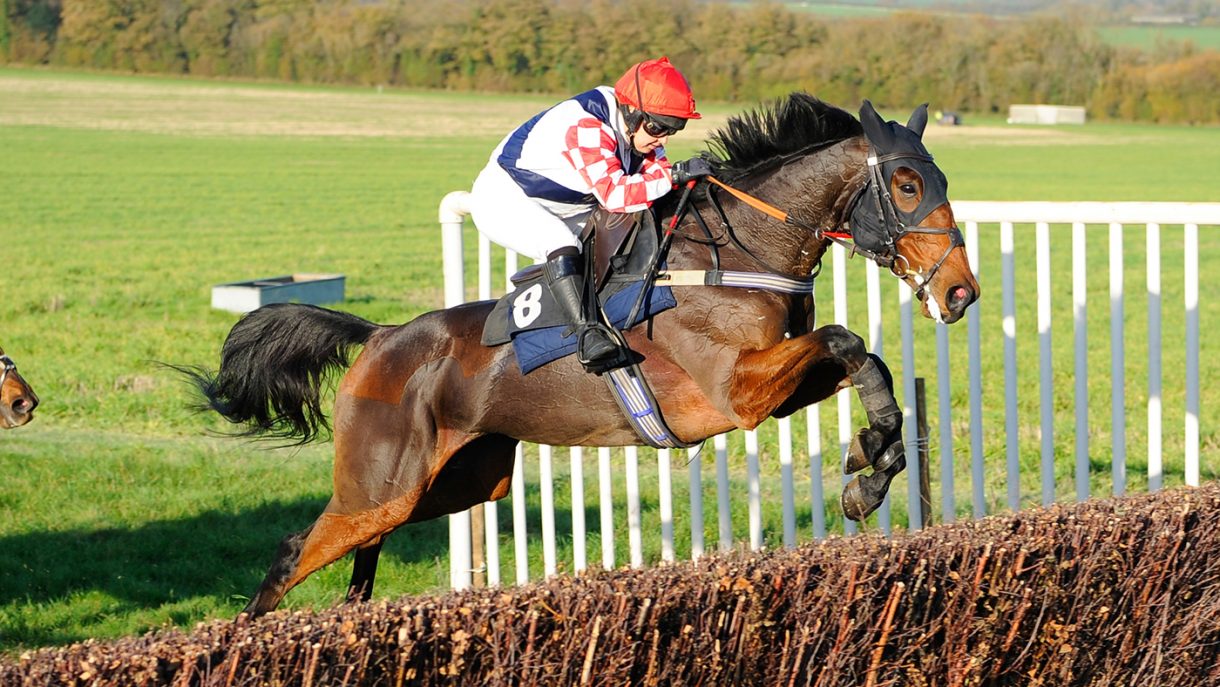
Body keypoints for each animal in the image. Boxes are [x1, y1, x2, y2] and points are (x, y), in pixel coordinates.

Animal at [181, 93, 979, 617]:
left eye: (942, 180)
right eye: (908, 183)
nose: (962, 291)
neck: (736, 252)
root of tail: (379, 338)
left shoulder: (778, 381)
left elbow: (865, 359)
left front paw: (870, 467)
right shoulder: (737, 392)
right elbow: (847, 340)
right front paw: (868, 470)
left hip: (452, 483)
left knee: (360, 553)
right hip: (381, 484)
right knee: (294, 551)